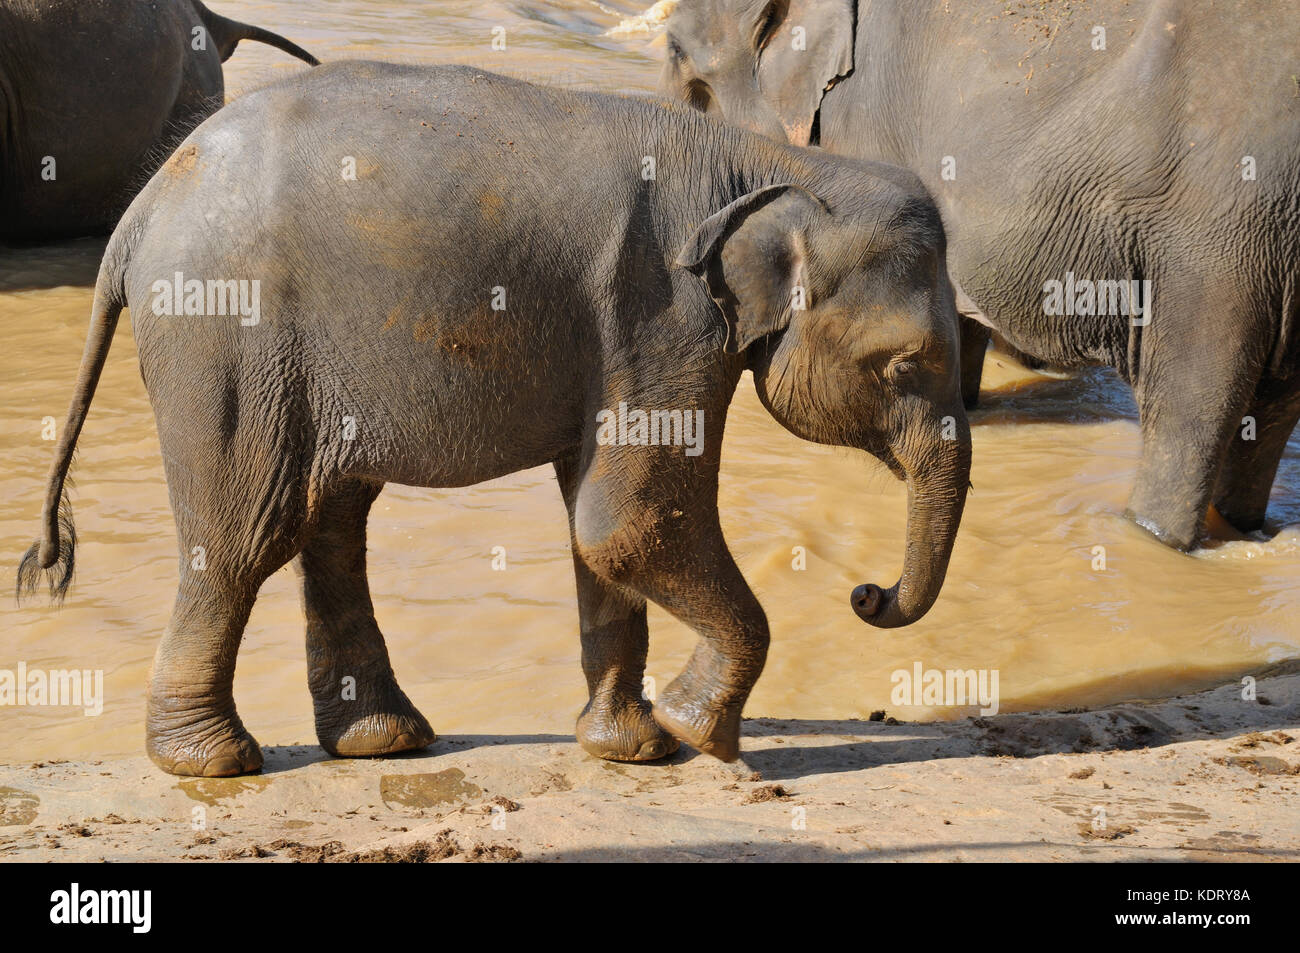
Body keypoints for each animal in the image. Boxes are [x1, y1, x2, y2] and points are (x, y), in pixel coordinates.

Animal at [19, 61, 970, 776]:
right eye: (905, 363)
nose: (867, 593)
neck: (773, 164)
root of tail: (139, 214)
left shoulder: (624, 340)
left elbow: (599, 527)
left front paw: (634, 748)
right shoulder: (662, 316)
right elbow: (628, 525)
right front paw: (698, 734)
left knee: (332, 522)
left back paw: (383, 742)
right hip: (226, 338)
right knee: (249, 532)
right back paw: (216, 761)